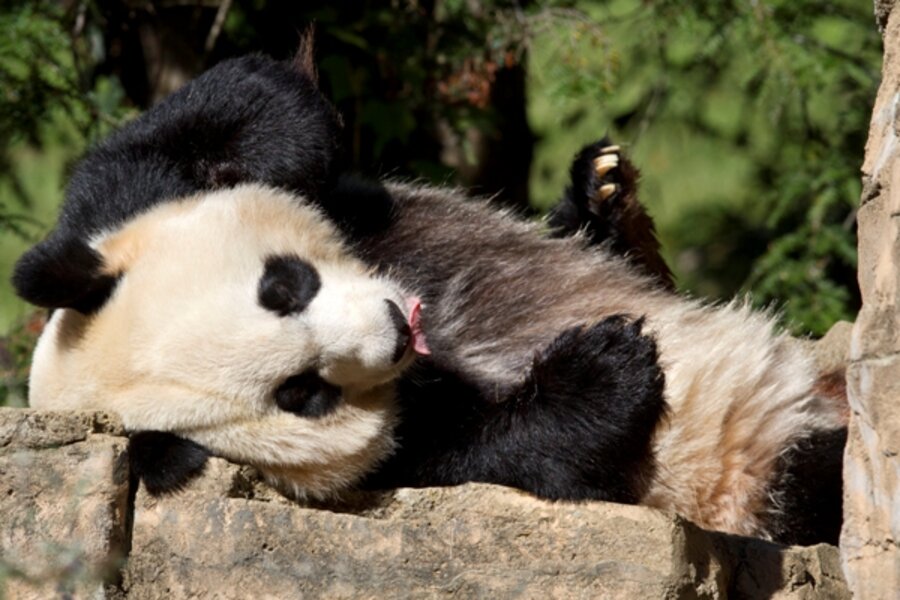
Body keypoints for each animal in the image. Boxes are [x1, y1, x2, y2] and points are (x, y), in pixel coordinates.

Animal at [12, 46, 847, 546]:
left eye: (285, 285)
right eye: (302, 392)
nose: (392, 327)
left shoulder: (109, 220)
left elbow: (205, 128)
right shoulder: (390, 474)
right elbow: (520, 460)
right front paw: (602, 366)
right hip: (763, 473)